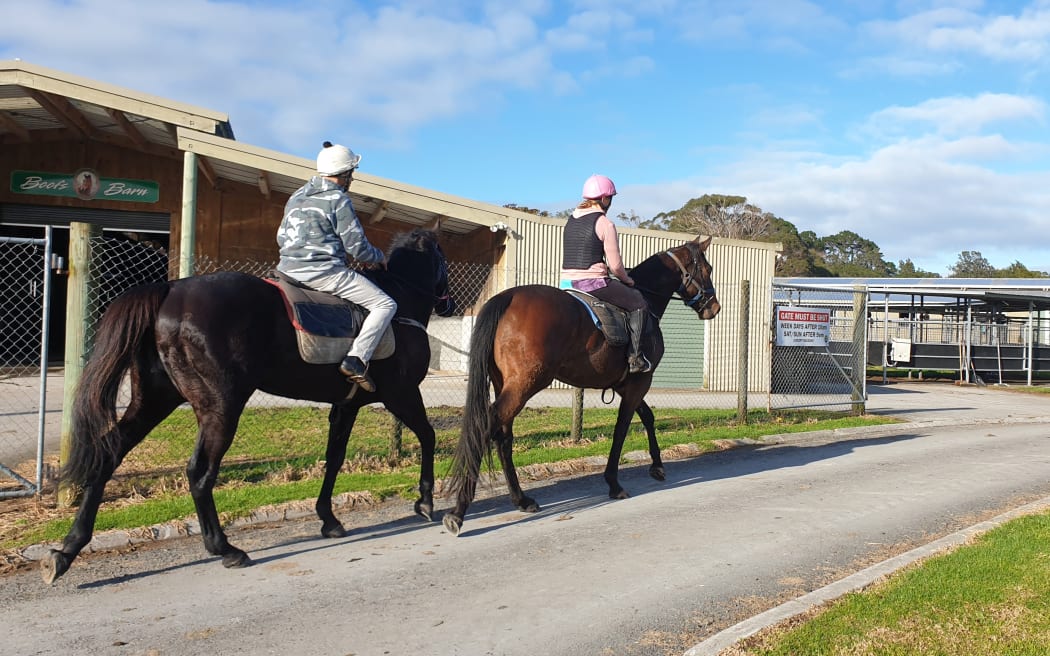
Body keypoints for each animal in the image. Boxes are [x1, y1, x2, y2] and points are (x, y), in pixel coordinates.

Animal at [42, 228, 456, 584]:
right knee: (199, 473)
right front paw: (425, 501)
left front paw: (328, 518)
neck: (398, 305)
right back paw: (225, 548)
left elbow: (334, 458)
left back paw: (67, 550)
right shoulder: (402, 394)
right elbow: (428, 437)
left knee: (109, 453)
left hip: (154, 401)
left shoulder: (346, 405)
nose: (449, 303)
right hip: (220, 408)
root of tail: (171, 289)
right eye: (442, 257)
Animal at [442, 236, 720, 536]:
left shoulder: (626, 385)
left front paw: (657, 466)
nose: (714, 307)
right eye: (708, 269)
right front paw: (614, 483)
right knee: (487, 427)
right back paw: (458, 511)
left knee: (503, 436)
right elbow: (621, 430)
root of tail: (508, 297)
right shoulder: (639, 383)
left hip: (505, 385)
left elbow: (647, 417)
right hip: (524, 385)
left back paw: (521, 499)